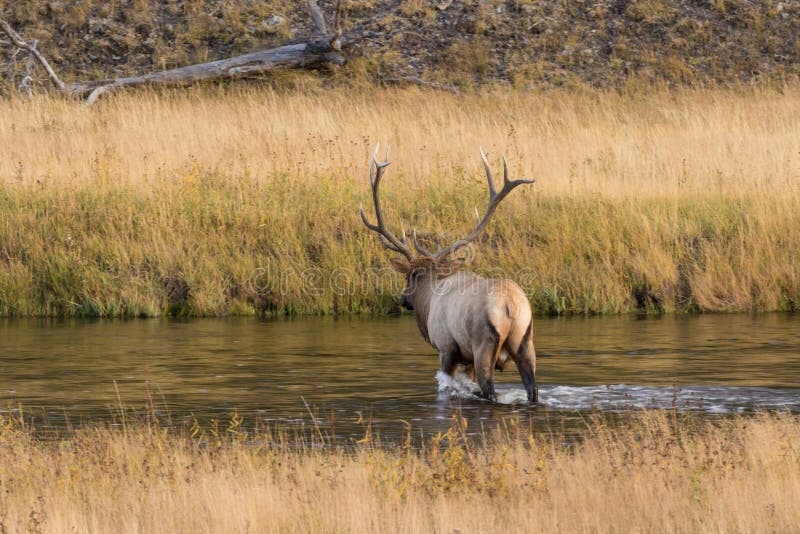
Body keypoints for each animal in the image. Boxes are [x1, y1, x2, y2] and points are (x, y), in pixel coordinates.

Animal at [360, 146, 538, 403]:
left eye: (408, 276)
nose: (403, 300)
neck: (429, 301)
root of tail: (509, 307)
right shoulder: (466, 359)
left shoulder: (446, 347)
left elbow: (445, 386)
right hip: (526, 341)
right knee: (533, 390)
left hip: (483, 344)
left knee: (490, 390)